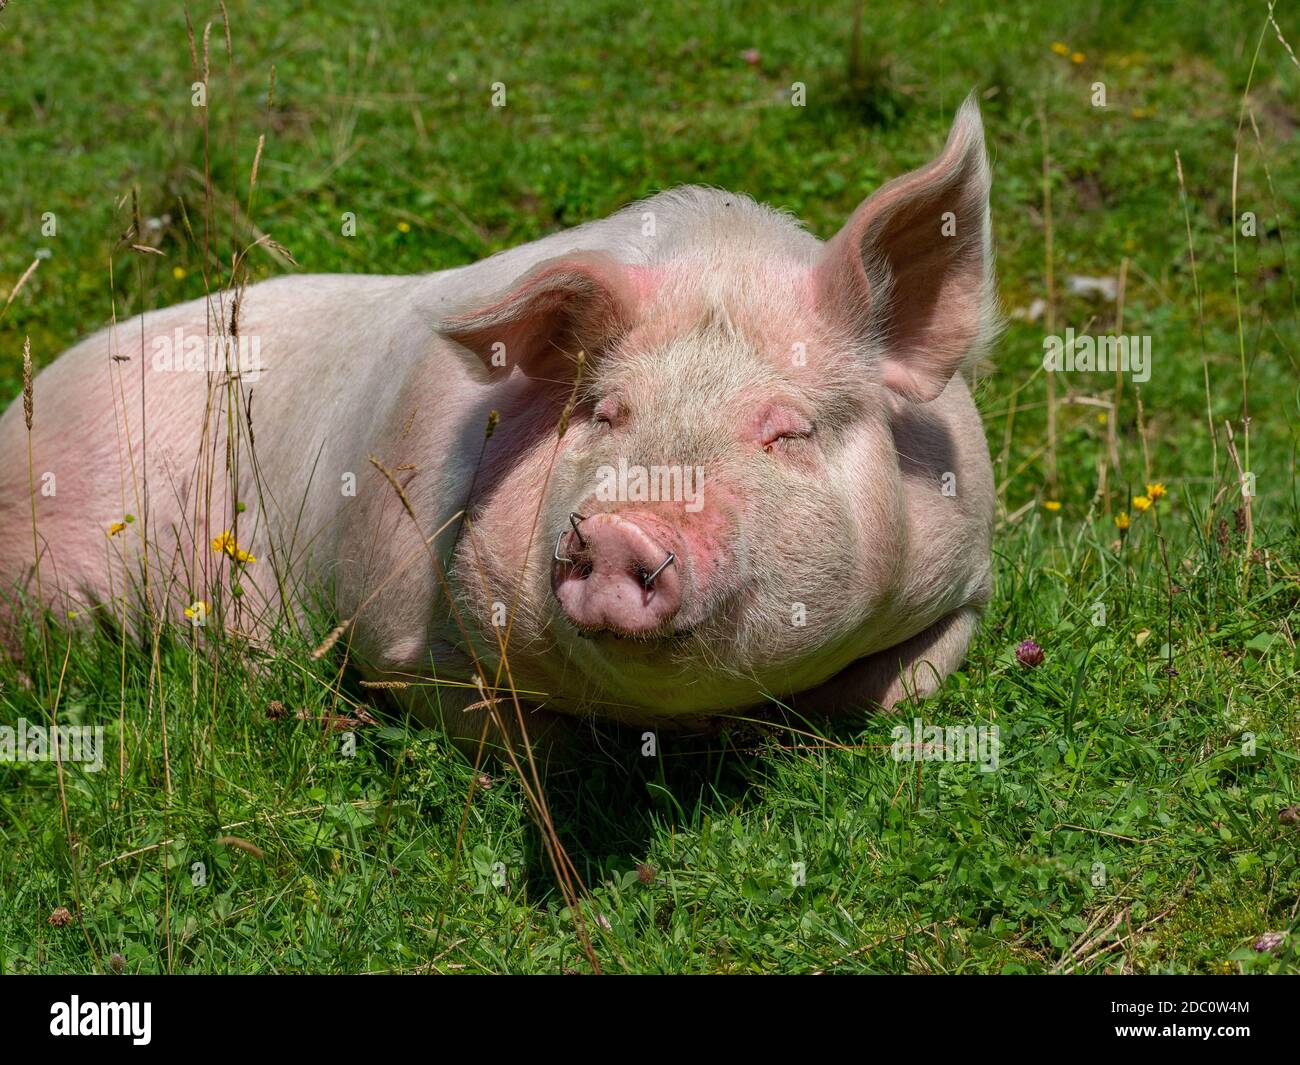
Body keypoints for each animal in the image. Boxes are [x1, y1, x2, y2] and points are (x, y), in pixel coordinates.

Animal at [0, 97, 997, 744]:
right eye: (603, 412)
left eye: (786, 429)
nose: (625, 528)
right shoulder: (398, 634)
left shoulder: (968, 575)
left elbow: (895, 687)